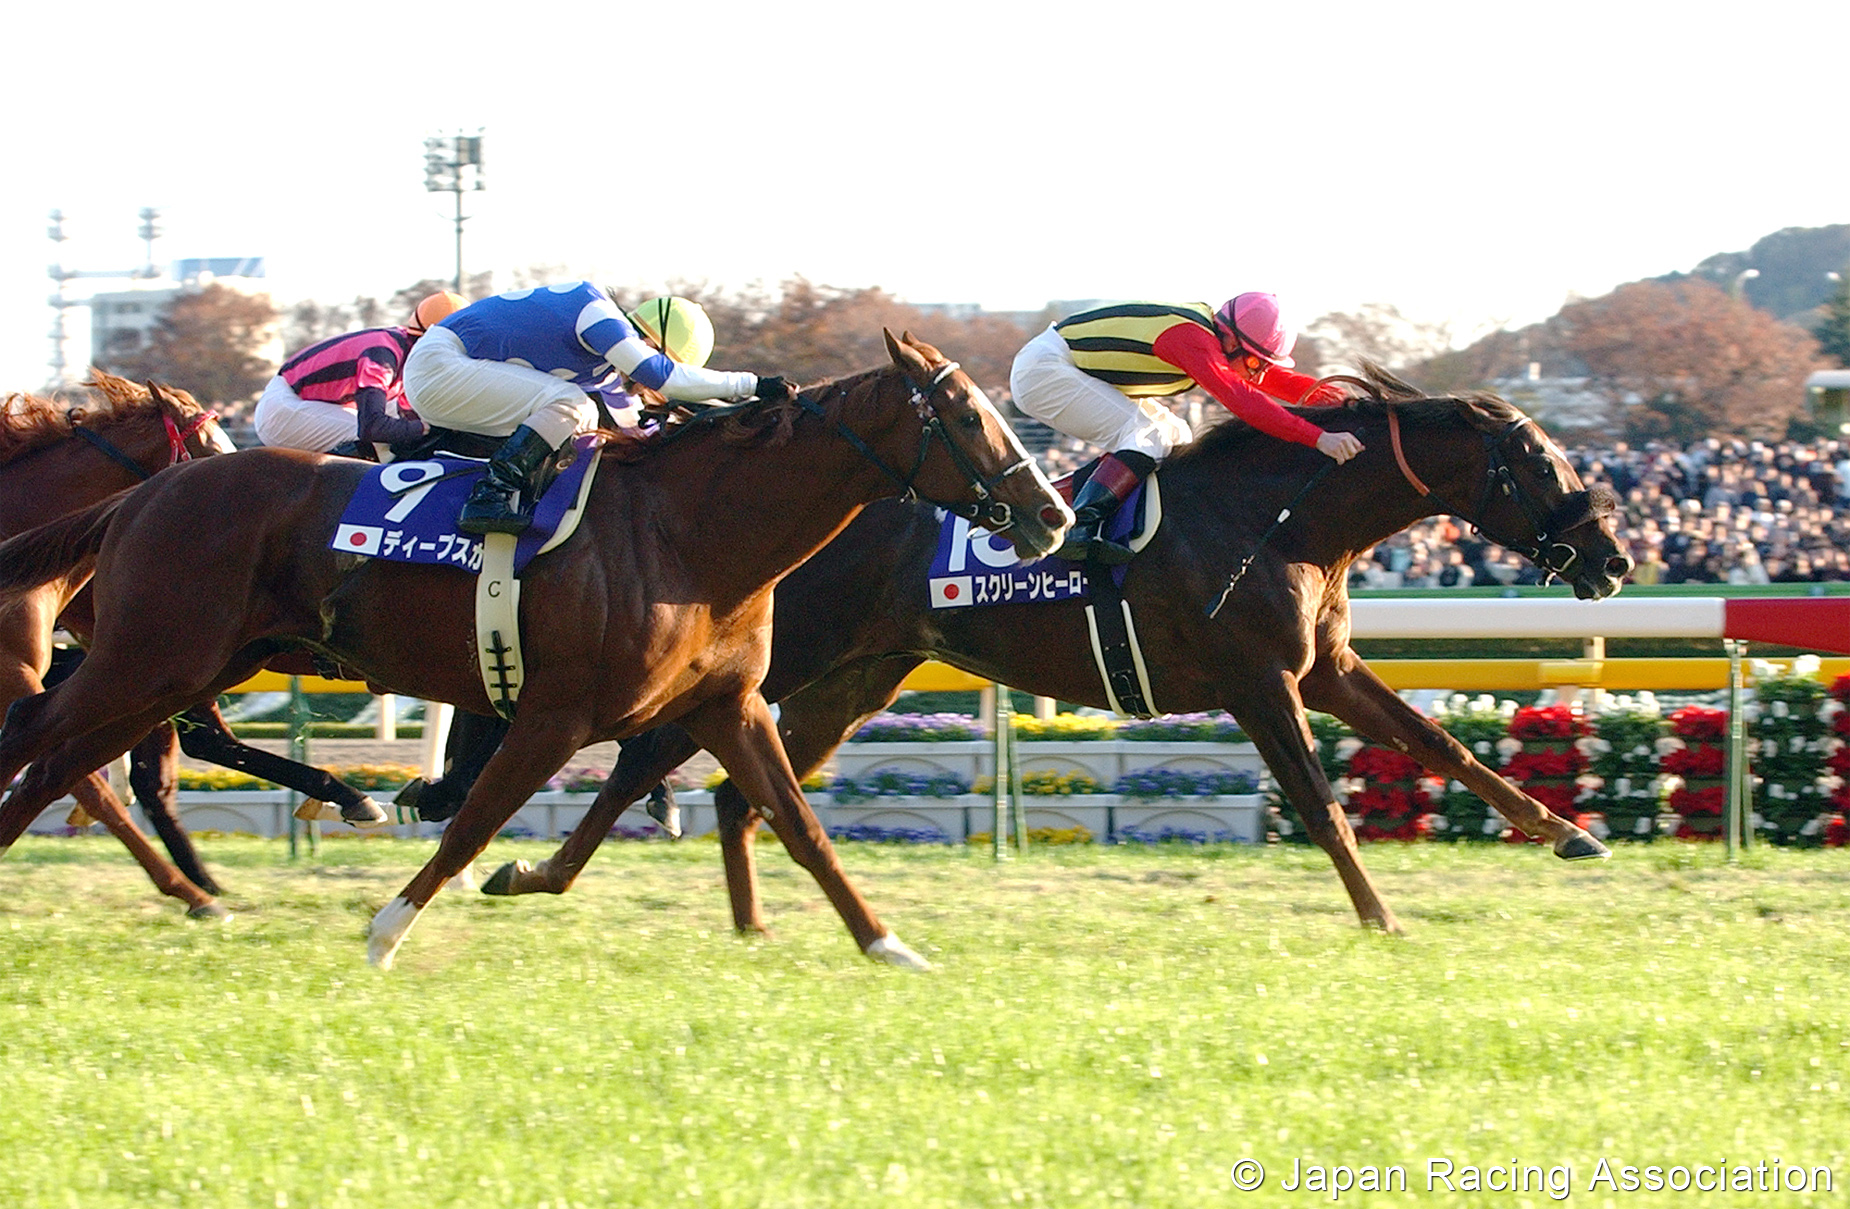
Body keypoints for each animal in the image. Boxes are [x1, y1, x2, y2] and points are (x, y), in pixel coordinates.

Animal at [0, 332, 1071, 966]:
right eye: (966, 414)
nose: (1052, 514)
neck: (689, 533)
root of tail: (144, 495)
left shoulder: (725, 704)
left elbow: (799, 824)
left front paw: (888, 945)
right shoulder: (558, 710)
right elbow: (477, 820)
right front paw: (387, 931)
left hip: (180, 665)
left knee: (62, 757)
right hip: (152, 657)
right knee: (43, 740)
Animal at [477, 366, 1633, 937]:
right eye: (1541, 464)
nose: (1614, 557)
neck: (1284, 518)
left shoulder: (1325, 670)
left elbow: (1444, 746)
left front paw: (1569, 833)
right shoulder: (1258, 680)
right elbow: (1319, 801)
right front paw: (1379, 914)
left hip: (856, 677)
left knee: (733, 793)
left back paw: (752, 924)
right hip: (788, 659)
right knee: (643, 758)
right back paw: (530, 873)